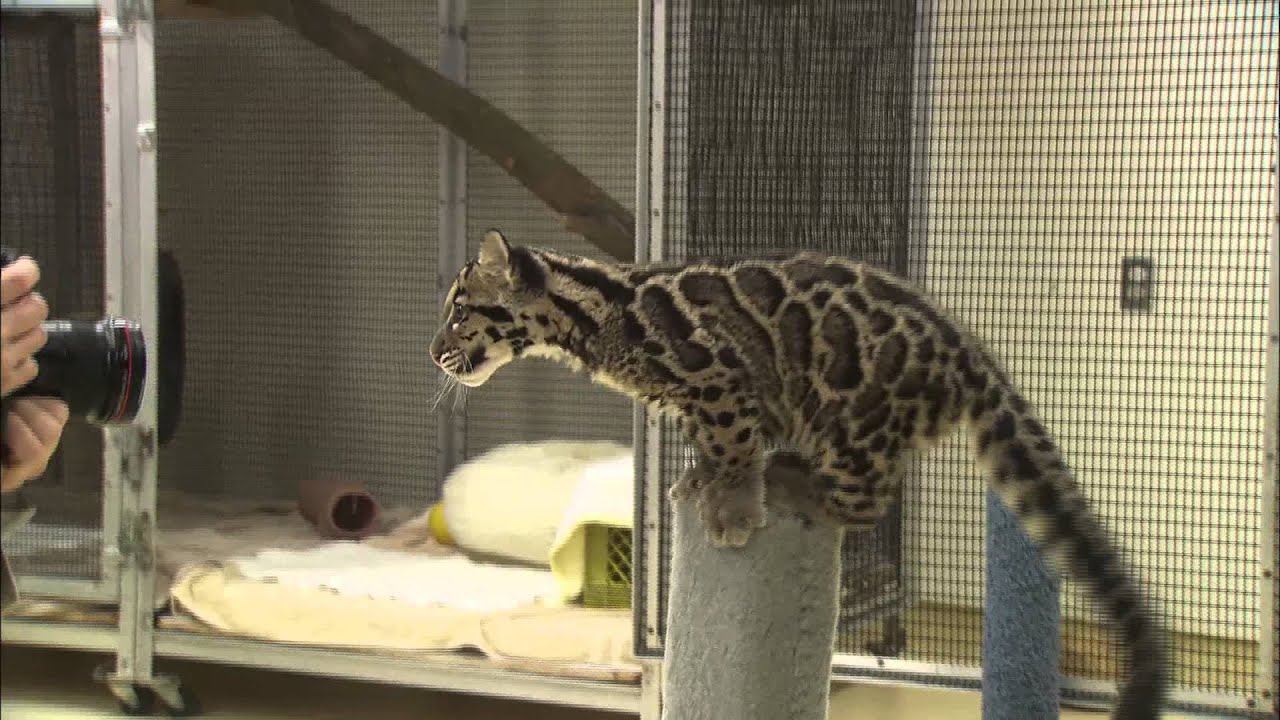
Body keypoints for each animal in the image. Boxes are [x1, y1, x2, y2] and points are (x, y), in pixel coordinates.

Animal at [429, 229, 1168, 719]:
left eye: (460, 311)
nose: (434, 351)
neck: (601, 309)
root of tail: (968, 350)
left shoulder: (719, 380)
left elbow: (733, 449)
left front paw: (732, 506)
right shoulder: (699, 404)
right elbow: (710, 449)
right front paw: (698, 484)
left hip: (856, 424)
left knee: (869, 500)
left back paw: (791, 482)